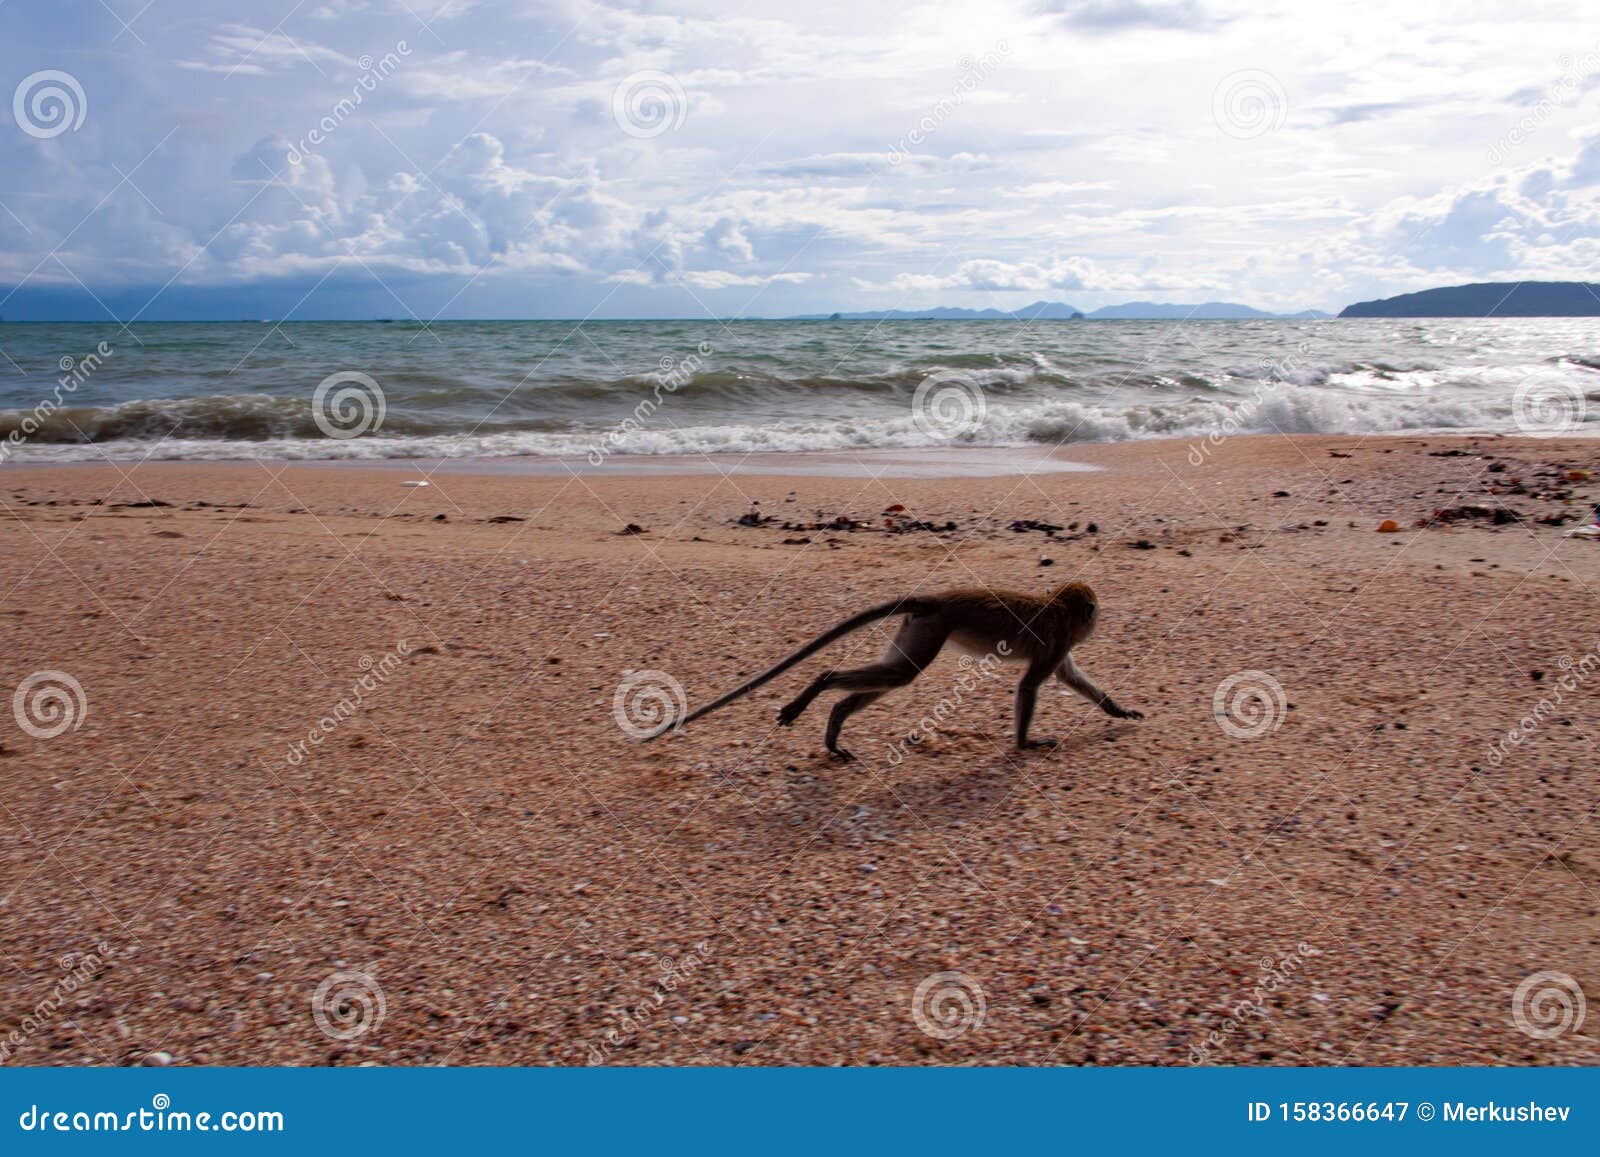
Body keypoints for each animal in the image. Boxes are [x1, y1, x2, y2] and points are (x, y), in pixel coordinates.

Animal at [648, 581, 1143, 761]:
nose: (1098, 621)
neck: (1058, 608)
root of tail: (937, 598)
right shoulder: (1057, 642)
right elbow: (1030, 685)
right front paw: (1025, 743)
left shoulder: (1061, 648)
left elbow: (1071, 679)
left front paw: (1118, 711)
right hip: (931, 629)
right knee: (902, 674)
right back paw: (822, 684)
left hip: (916, 628)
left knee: (894, 673)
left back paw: (834, 723)